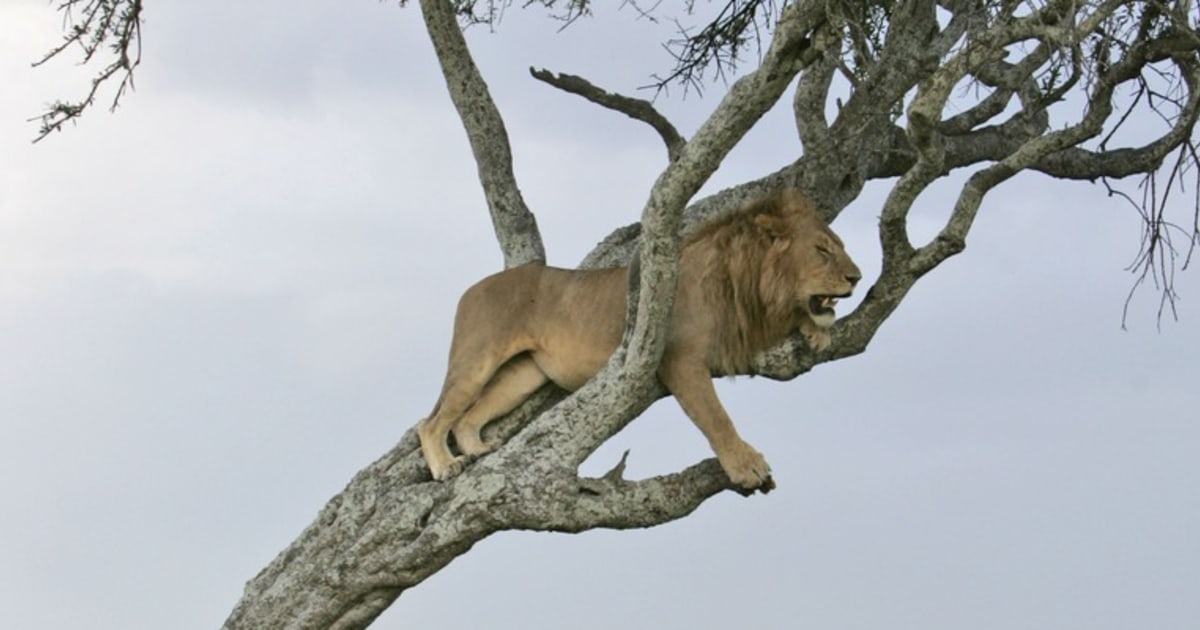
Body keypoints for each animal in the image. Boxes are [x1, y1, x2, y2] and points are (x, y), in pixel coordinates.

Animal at [418, 190, 862, 491]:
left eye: (839, 246)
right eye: (822, 251)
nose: (856, 277)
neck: (744, 278)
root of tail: (472, 288)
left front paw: (816, 329)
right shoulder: (680, 358)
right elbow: (716, 416)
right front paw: (745, 465)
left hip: (523, 375)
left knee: (467, 419)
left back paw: (478, 450)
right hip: (477, 359)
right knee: (433, 421)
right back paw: (444, 466)